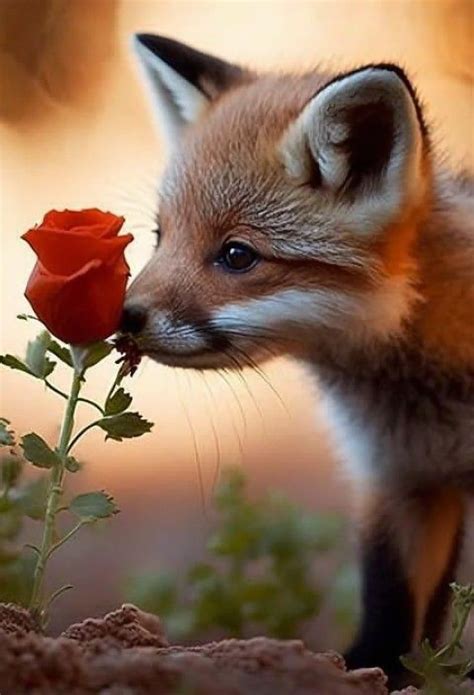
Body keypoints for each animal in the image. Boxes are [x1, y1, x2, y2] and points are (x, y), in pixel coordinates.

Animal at [122, 34, 474, 687]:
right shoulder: (398, 477)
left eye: (237, 255)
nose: (122, 317)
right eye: (161, 237)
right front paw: (373, 674)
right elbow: (393, 611)